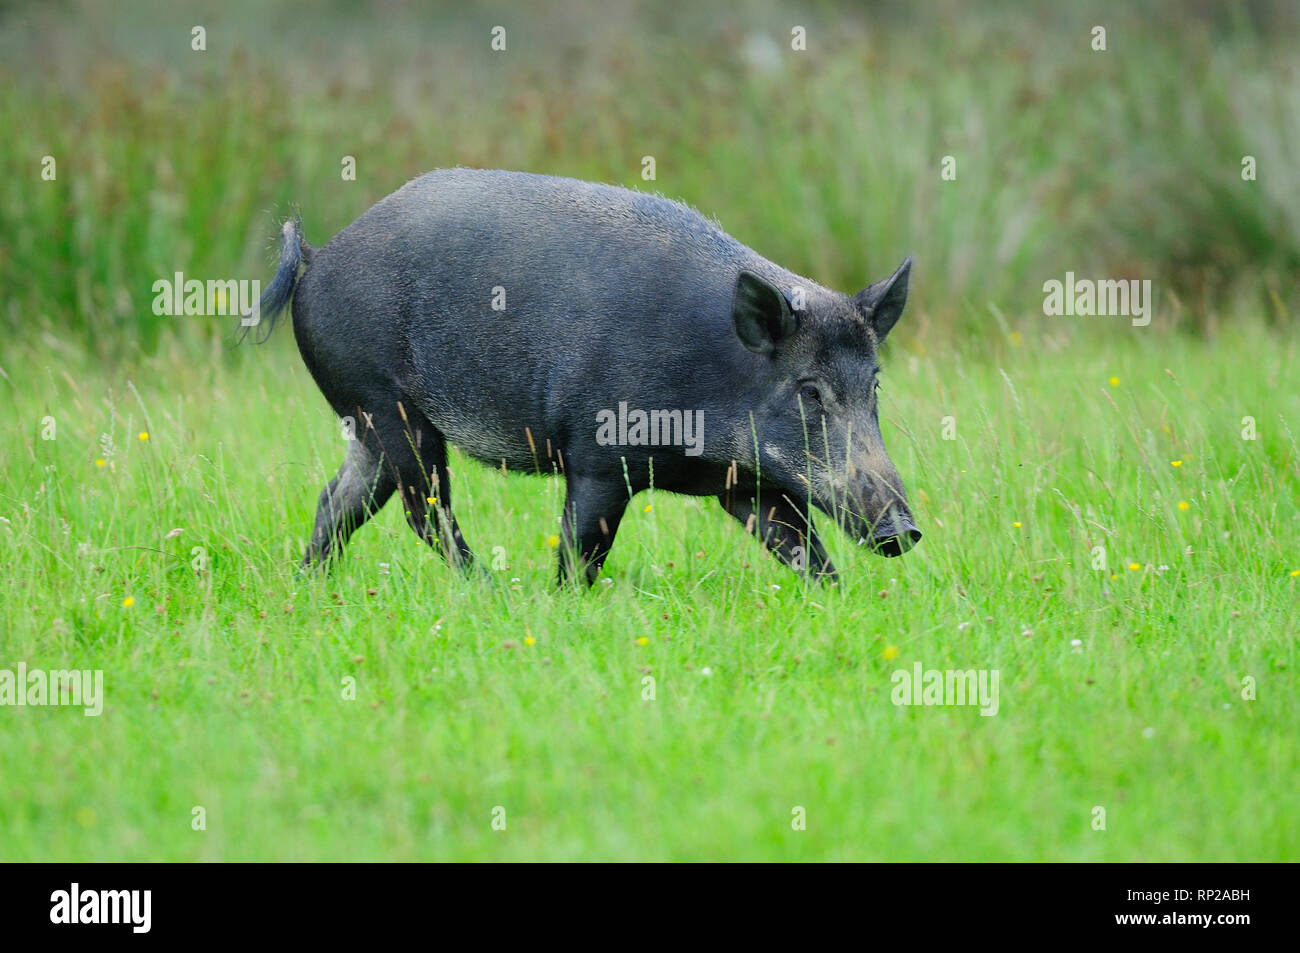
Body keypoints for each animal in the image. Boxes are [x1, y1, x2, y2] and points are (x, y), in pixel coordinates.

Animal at [251, 168, 919, 585]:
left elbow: (806, 551)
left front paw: (838, 600)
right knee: (424, 511)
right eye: (810, 391)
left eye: (874, 385)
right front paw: (562, 600)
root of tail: (317, 255)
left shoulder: (746, 484)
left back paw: (309, 586)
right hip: (385, 403)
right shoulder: (597, 456)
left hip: (367, 418)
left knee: (340, 499)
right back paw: (490, 590)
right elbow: (582, 549)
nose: (904, 530)